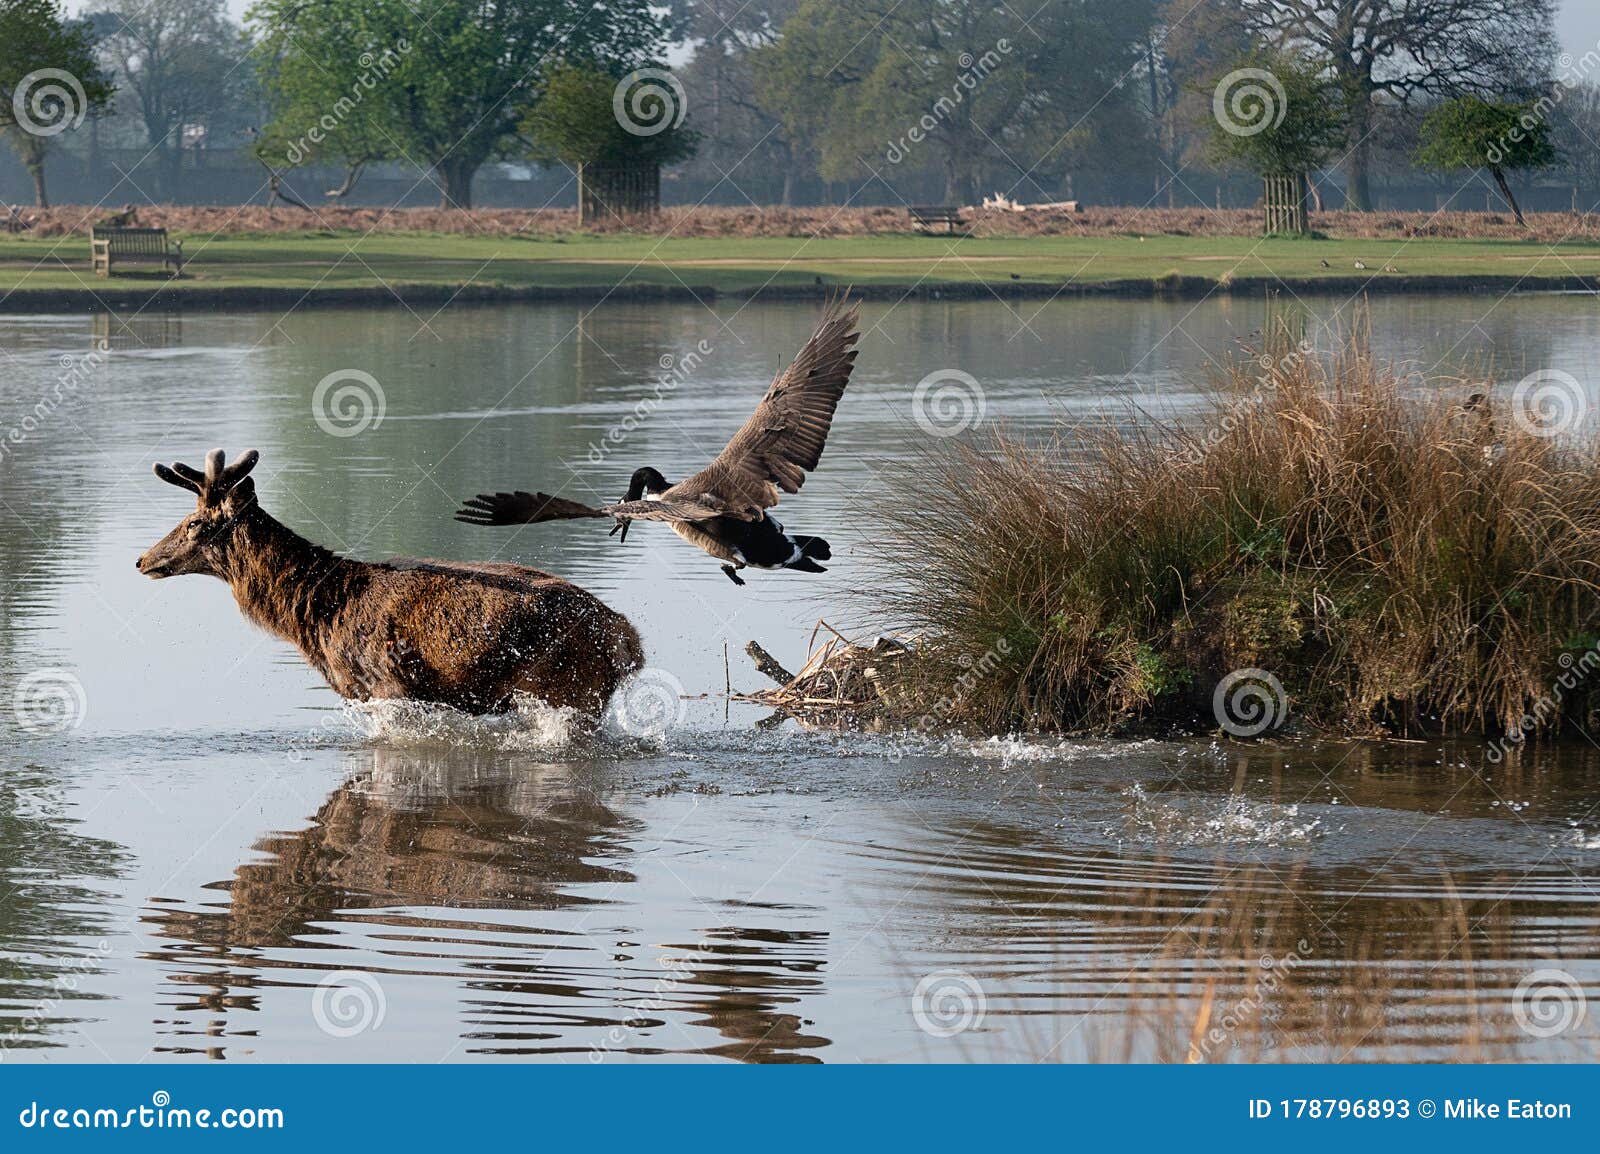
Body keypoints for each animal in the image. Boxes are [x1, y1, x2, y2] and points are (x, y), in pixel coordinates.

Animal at [136, 448, 644, 721]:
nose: (142, 560)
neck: (315, 615)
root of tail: (628, 639)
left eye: (195, 523)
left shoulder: (387, 686)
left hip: (566, 689)